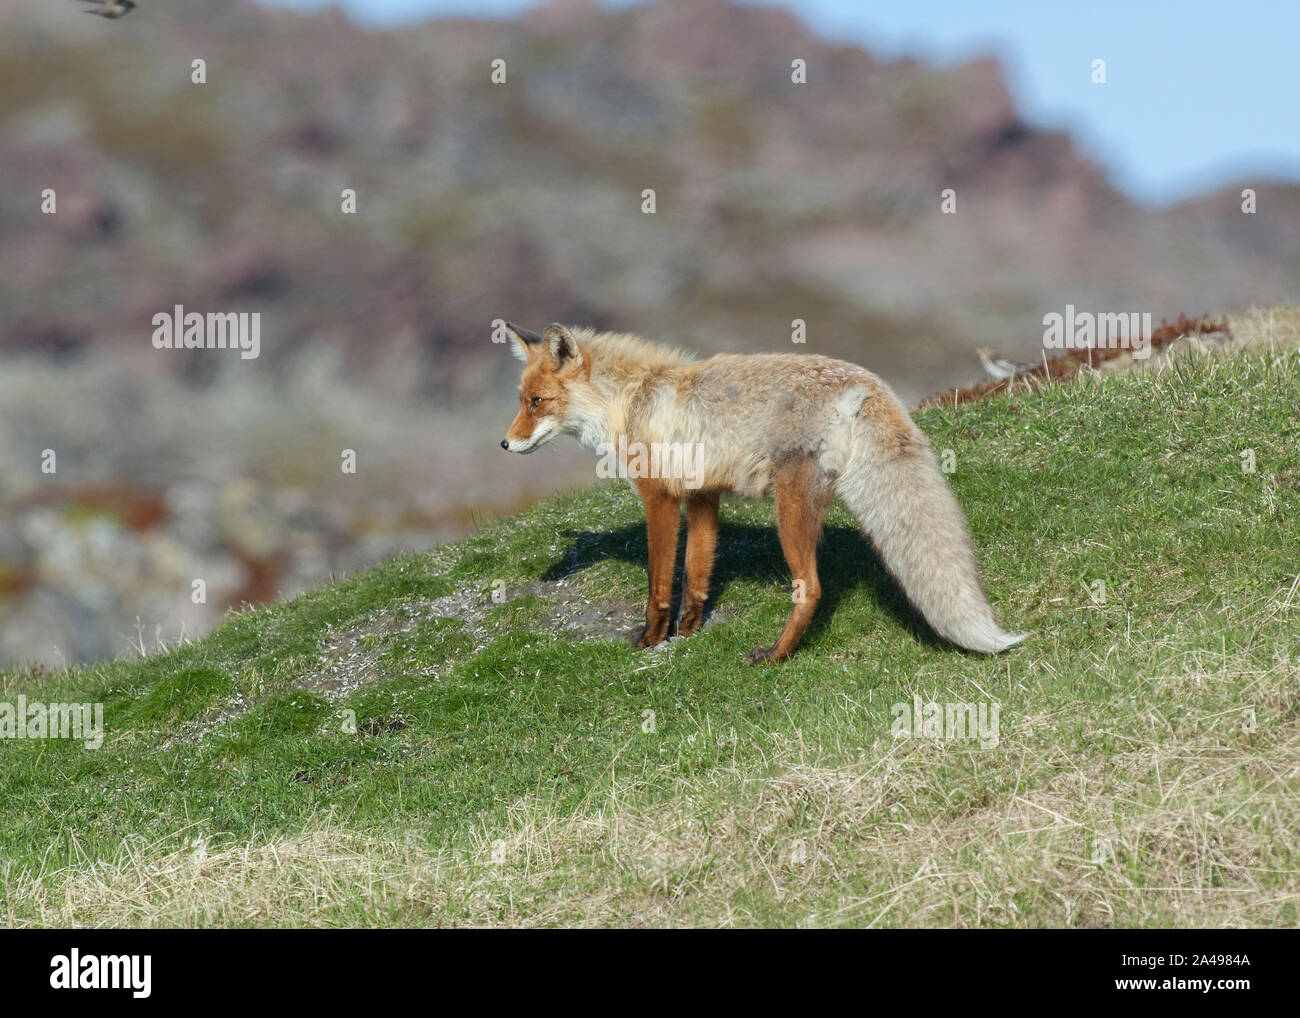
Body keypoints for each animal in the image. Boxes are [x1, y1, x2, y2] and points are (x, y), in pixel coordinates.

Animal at [500, 322, 1026, 664]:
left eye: (537, 402)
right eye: (522, 401)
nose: (505, 444)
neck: (632, 402)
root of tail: (865, 382)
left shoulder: (661, 498)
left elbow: (659, 586)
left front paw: (652, 640)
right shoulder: (702, 496)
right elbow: (696, 577)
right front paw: (688, 632)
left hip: (788, 507)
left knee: (811, 588)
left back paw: (776, 655)